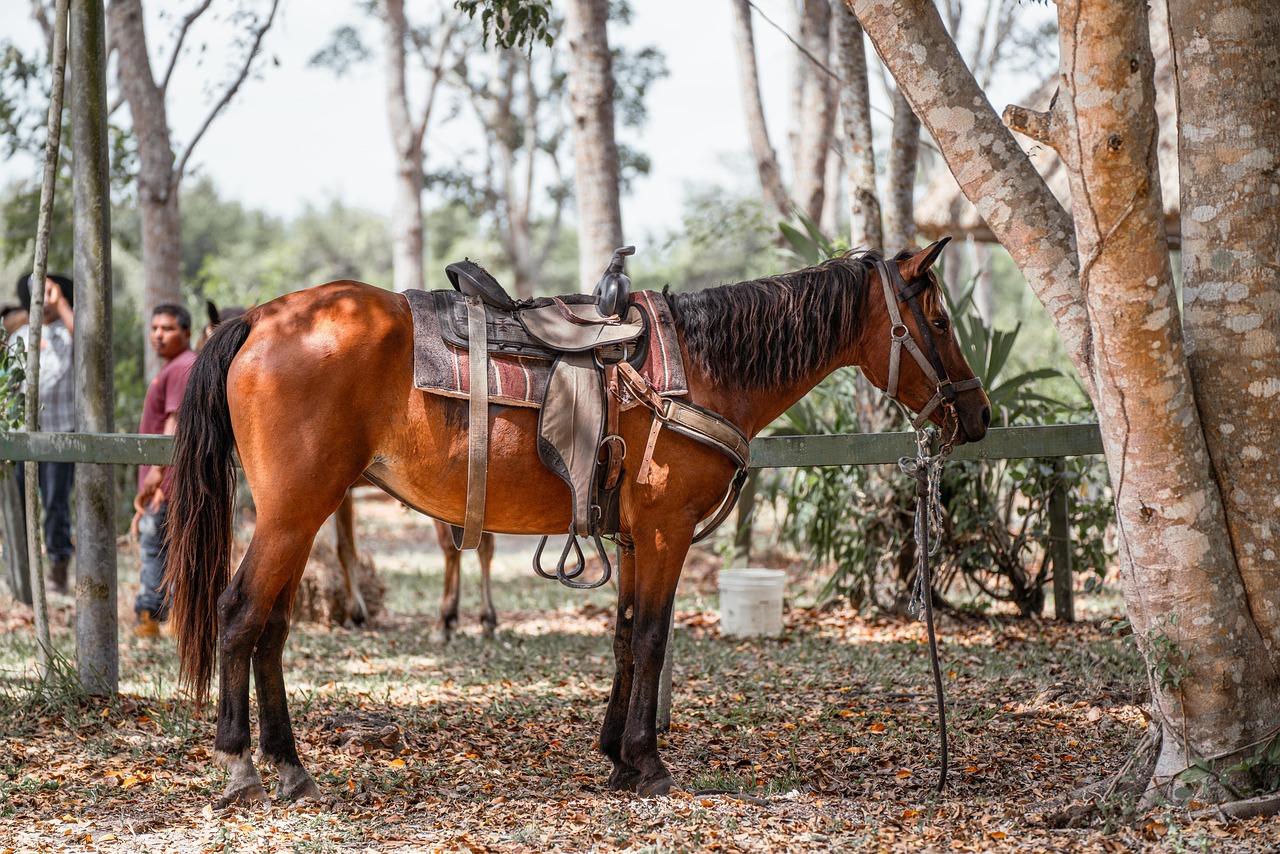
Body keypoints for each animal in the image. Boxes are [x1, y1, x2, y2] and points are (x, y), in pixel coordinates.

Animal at [201, 301, 499, 635]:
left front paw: (357, 611)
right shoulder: (342, 495)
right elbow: (345, 548)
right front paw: (356, 611)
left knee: (459, 549)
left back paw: (460, 615)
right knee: (481, 546)